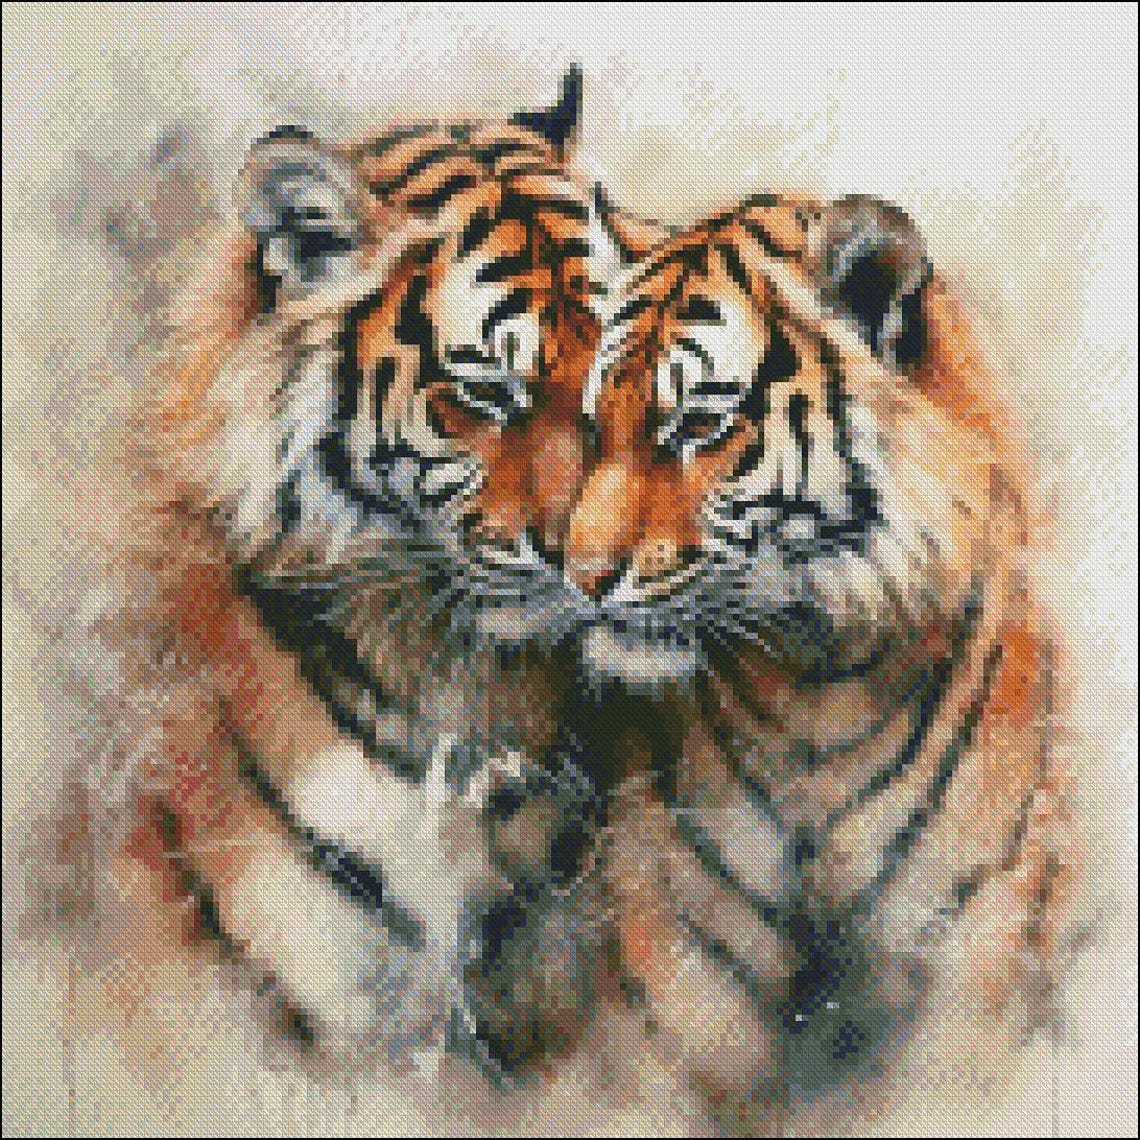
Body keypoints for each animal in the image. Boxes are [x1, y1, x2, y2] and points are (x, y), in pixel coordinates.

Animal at [565, 192, 1078, 1129]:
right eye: (593, 427)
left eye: (697, 426)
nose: (578, 575)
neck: (815, 682)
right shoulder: (679, 967)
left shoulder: (976, 933)